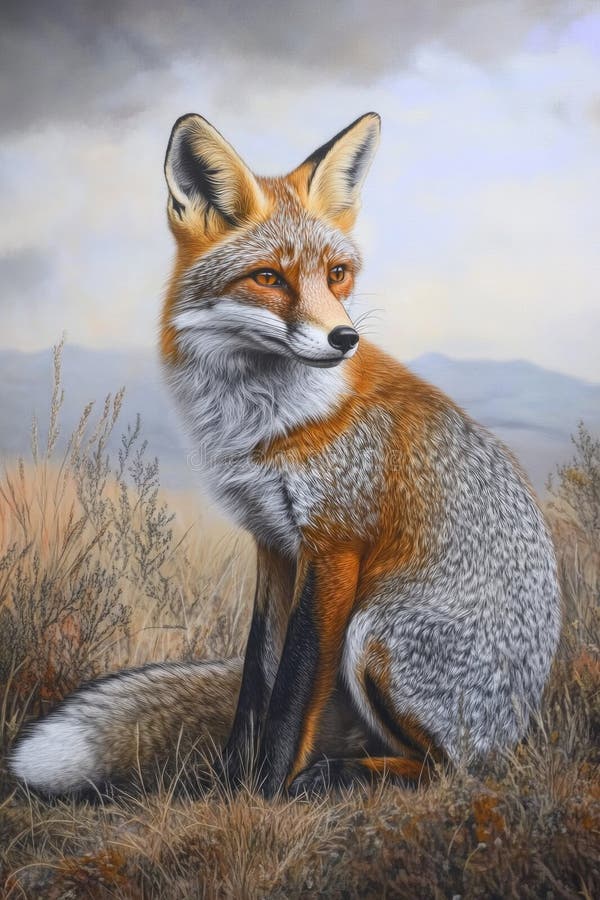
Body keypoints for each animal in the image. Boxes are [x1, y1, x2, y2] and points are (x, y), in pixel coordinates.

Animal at [11, 112, 560, 798]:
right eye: (269, 278)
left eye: (338, 274)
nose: (345, 338)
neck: (258, 425)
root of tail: (516, 730)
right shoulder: (273, 543)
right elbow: (257, 678)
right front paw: (228, 783)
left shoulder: (334, 548)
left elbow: (295, 686)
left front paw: (267, 789)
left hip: (374, 635)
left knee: (448, 770)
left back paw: (339, 775)